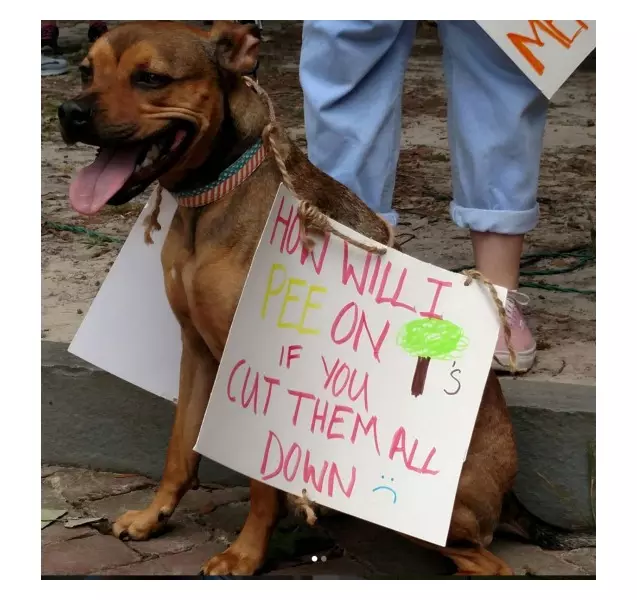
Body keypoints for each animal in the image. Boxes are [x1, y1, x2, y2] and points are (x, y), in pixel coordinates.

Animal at [58, 19, 516, 576]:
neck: (212, 196)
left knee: (489, 564)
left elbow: (261, 485)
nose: (70, 112)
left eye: (150, 78)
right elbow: (179, 451)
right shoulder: (195, 348)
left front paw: (245, 554)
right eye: (86, 71)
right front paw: (153, 516)